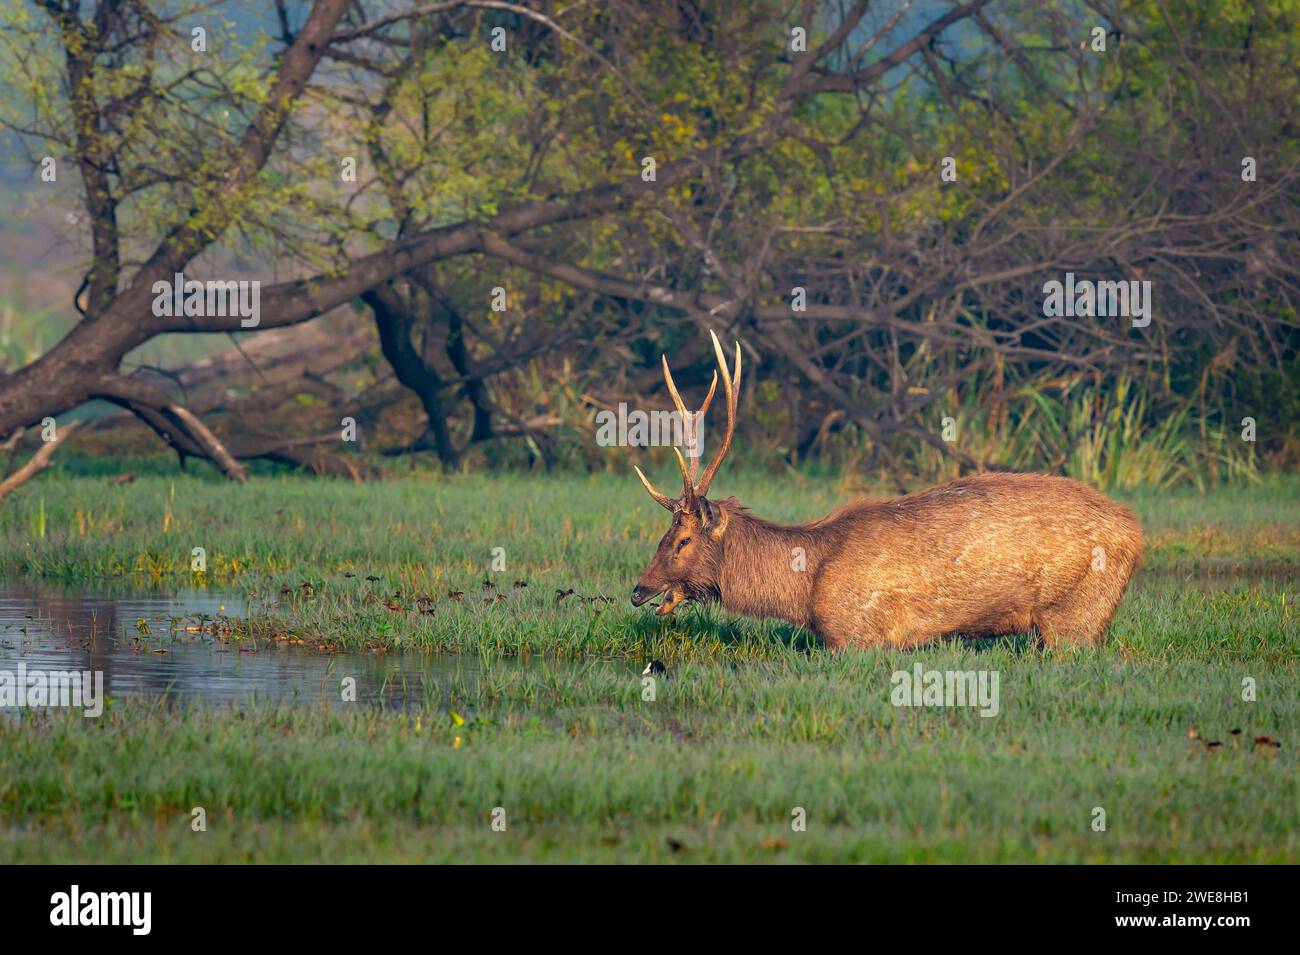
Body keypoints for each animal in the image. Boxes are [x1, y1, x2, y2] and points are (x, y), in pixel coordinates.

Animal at [630, 332, 1144, 650]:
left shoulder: (856, 635)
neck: (803, 588)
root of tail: (1135, 533)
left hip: (1074, 617)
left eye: (683, 539)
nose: (637, 591)